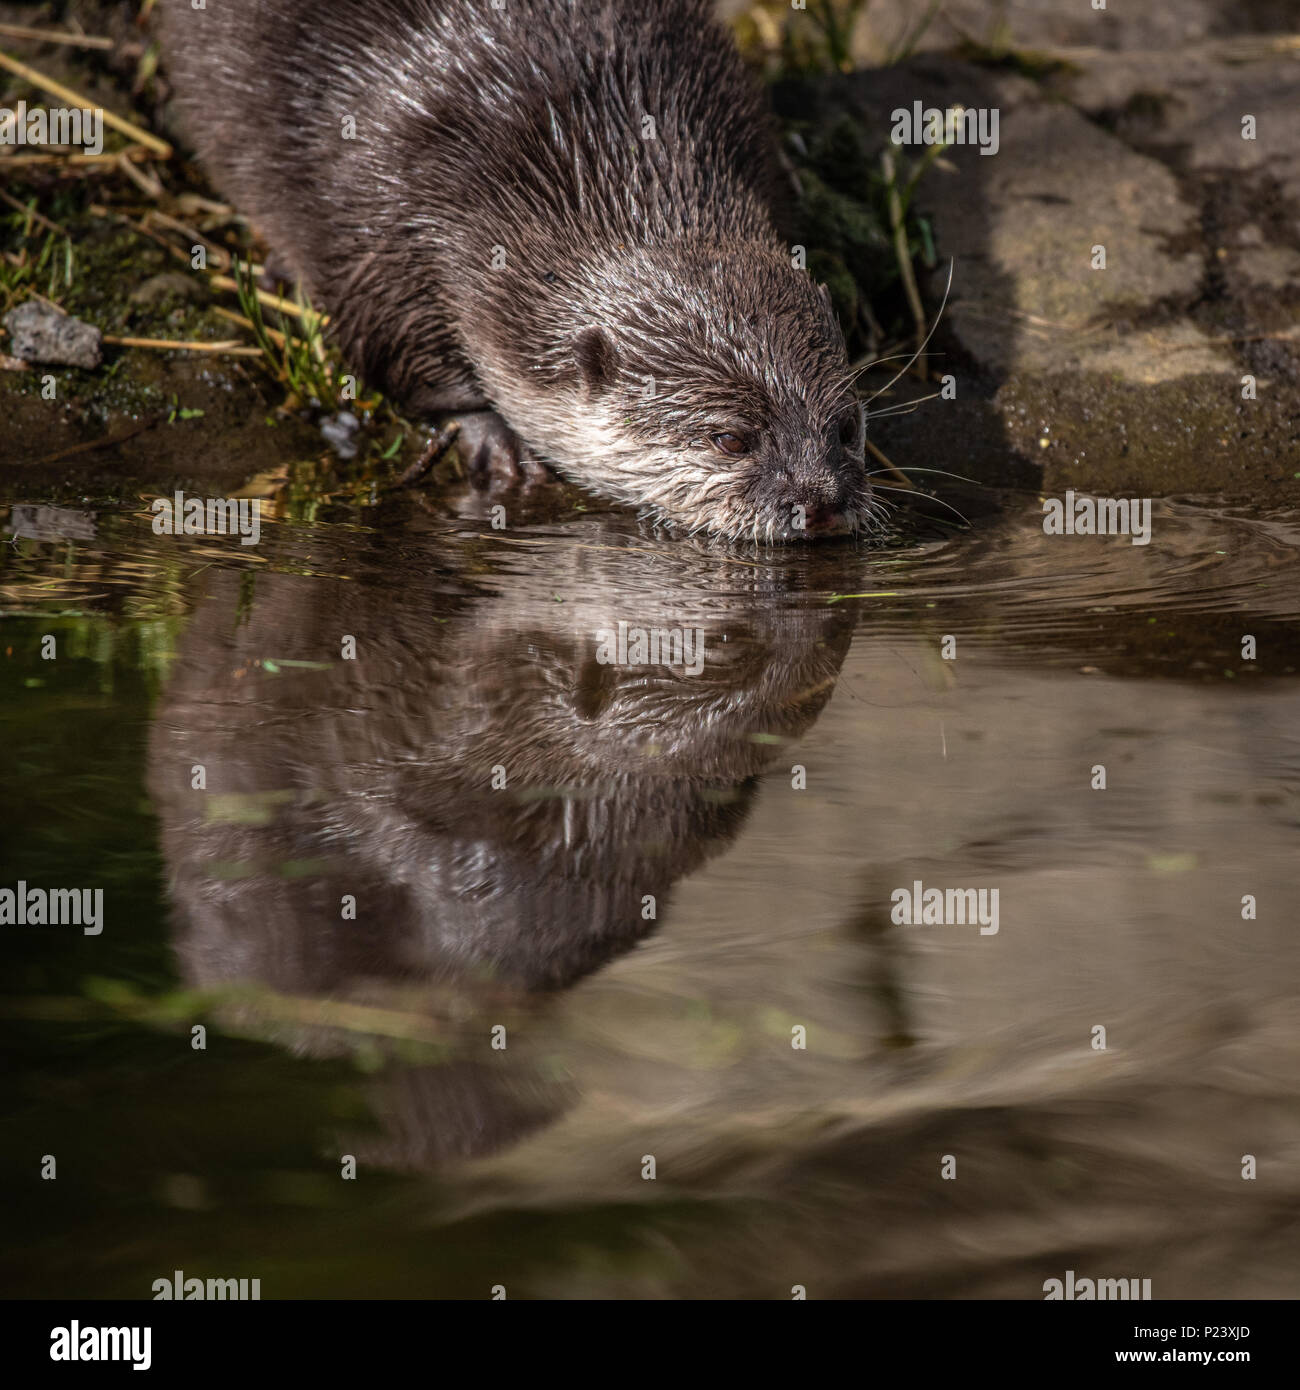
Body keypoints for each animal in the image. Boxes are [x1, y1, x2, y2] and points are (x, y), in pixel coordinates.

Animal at [160, 0, 879, 542]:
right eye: (730, 439)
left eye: (847, 427)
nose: (820, 501)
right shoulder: (375, 222)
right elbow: (386, 338)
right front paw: (492, 437)